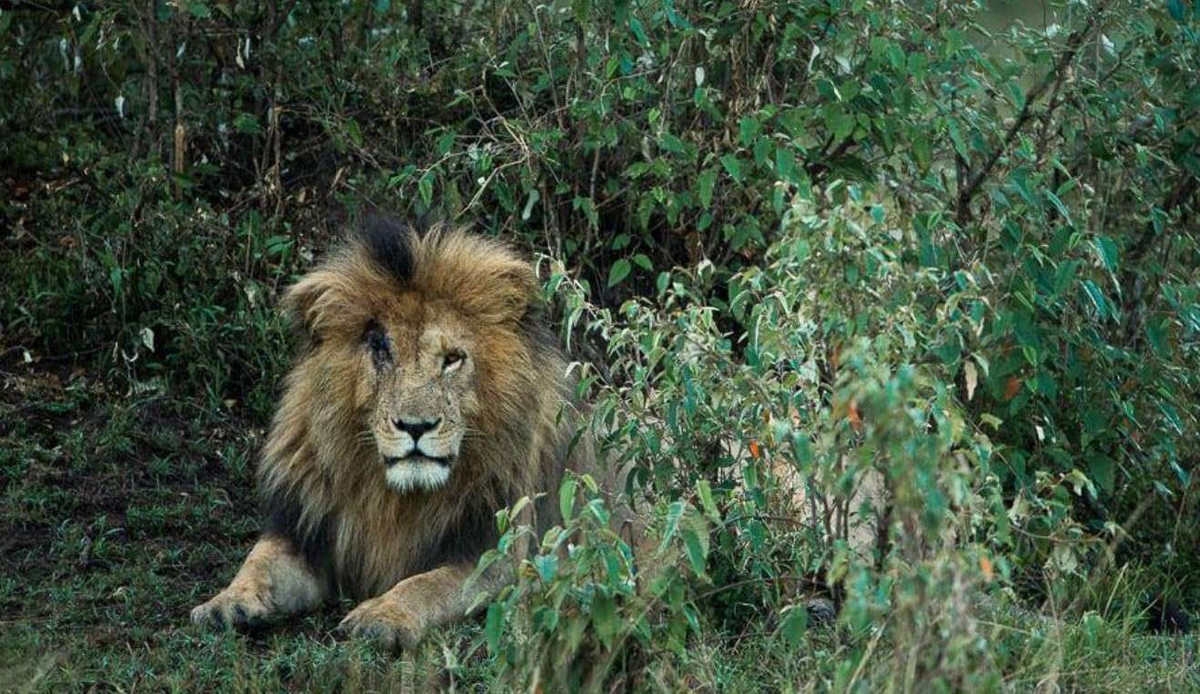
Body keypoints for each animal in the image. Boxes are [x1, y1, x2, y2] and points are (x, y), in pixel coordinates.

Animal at [190, 216, 609, 649]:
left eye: (452, 359)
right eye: (381, 350)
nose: (415, 426)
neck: (394, 500)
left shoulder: (498, 553)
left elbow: (427, 585)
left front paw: (381, 616)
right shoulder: (306, 530)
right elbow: (258, 561)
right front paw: (226, 603)